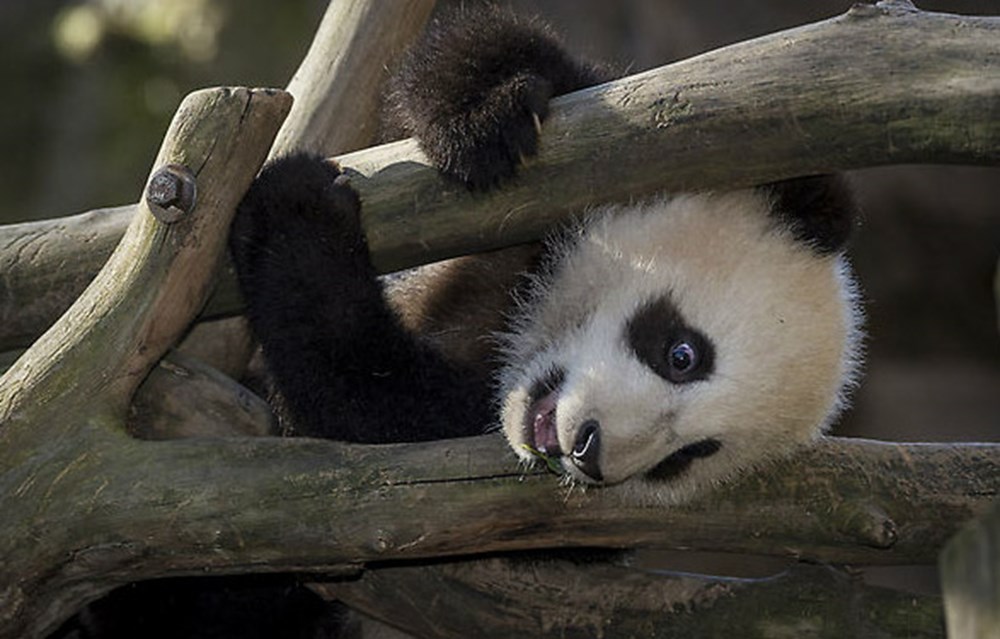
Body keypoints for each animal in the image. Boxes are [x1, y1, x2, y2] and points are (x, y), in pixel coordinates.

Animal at [230, 5, 863, 506]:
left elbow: (365, 398)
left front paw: (296, 215)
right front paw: (485, 119)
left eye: (688, 455)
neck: (526, 307)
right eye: (683, 355)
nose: (587, 451)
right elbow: (505, 59)